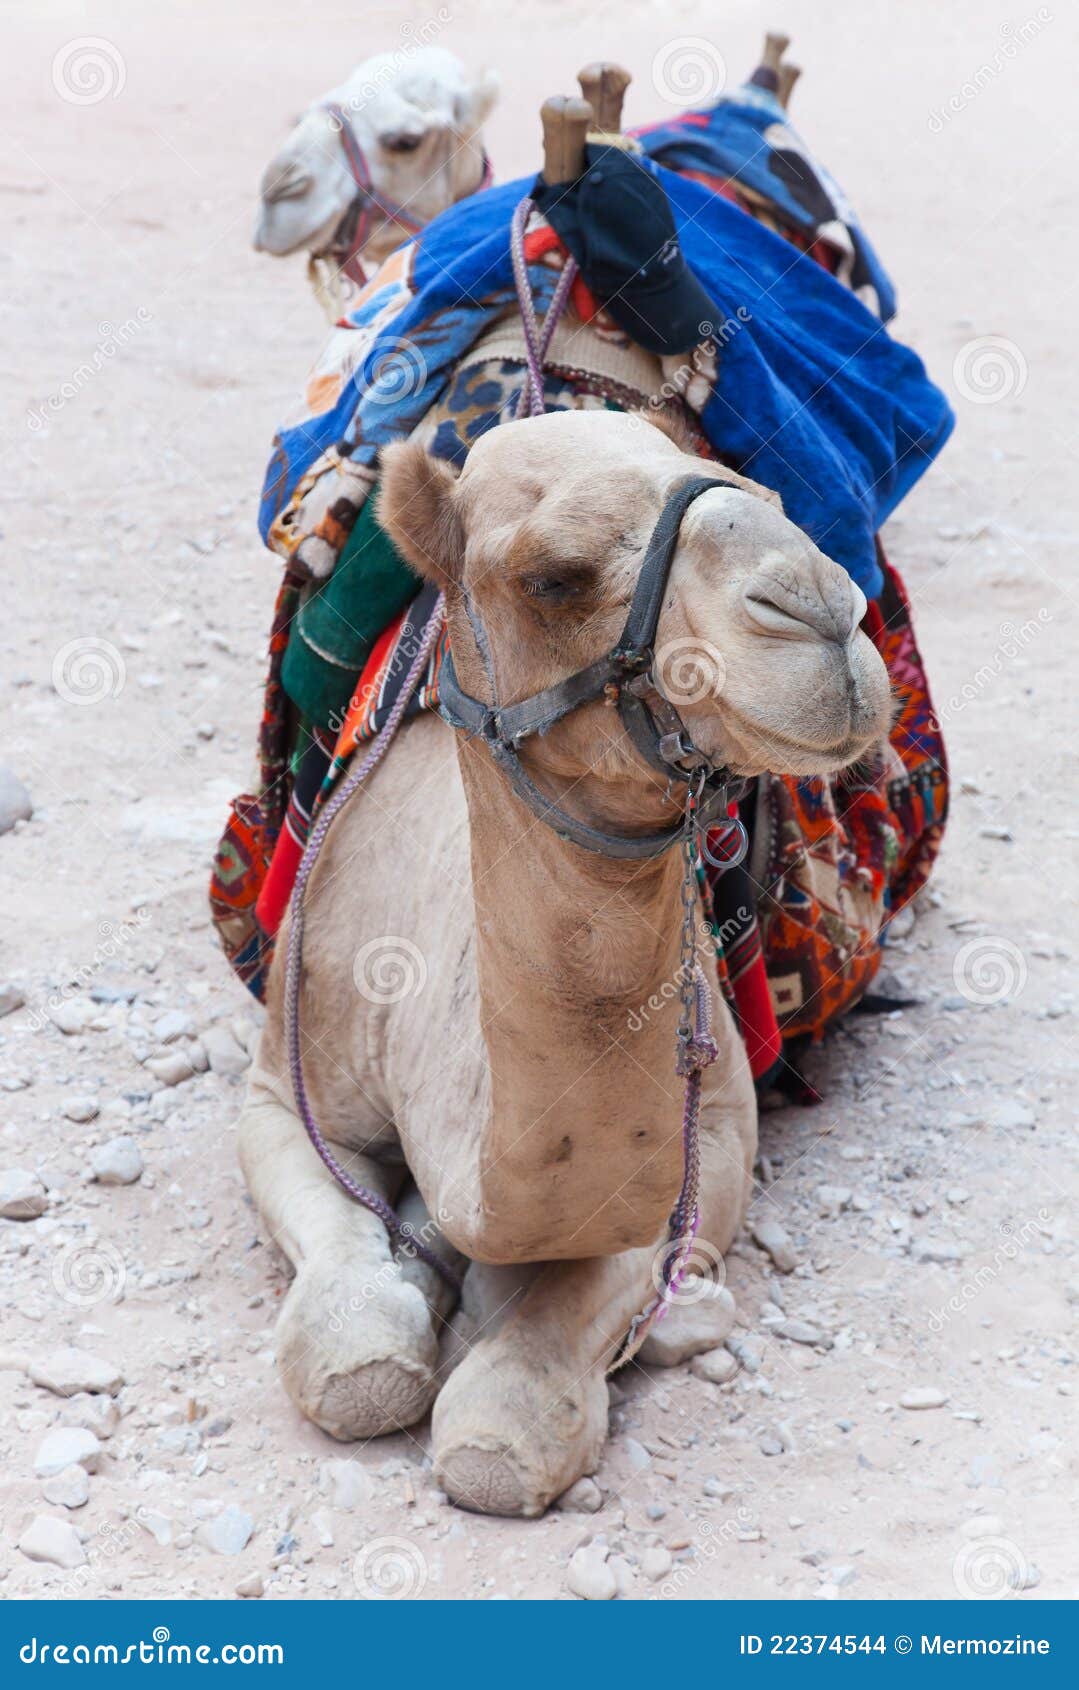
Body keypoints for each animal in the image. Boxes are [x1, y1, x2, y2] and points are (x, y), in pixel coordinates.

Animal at [236, 406, 891, 1517]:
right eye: (551, 577)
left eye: (764, 494)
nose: (821, 611)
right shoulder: (284, 1082)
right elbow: (353, 1359)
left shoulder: (713, 1130)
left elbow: (505, 1429)